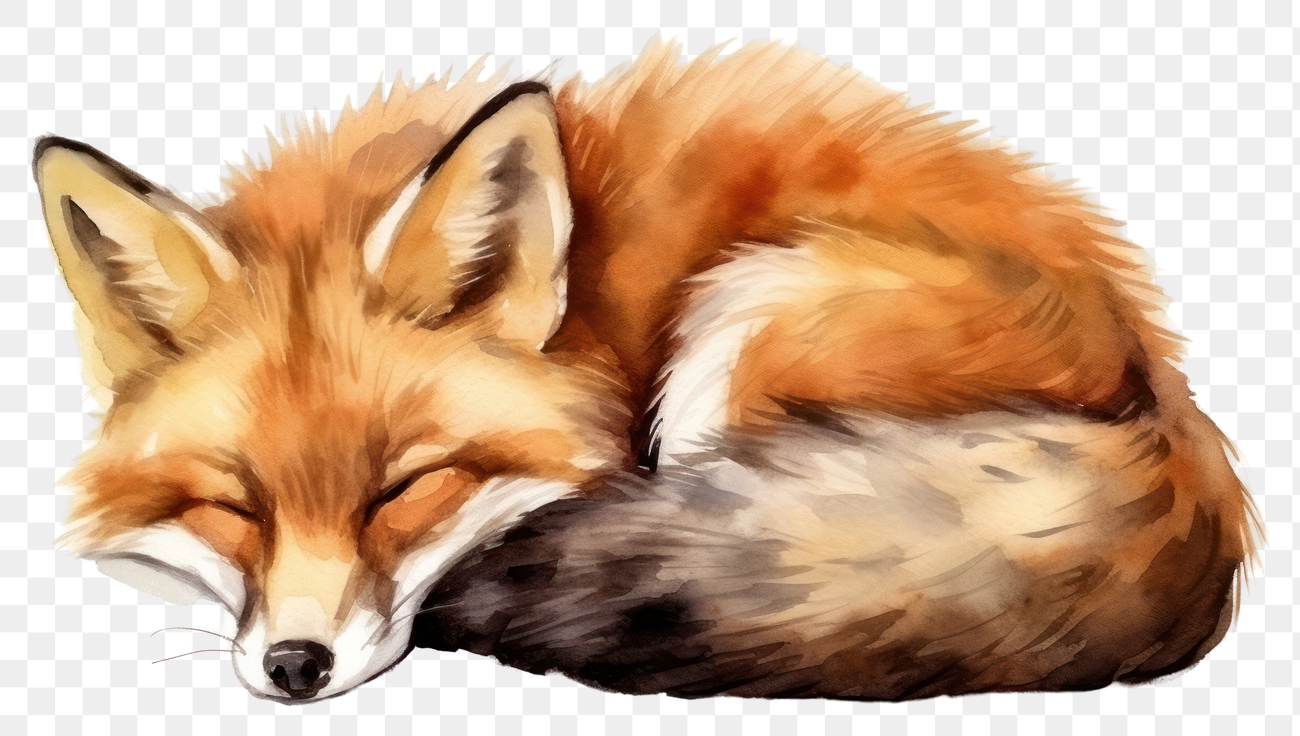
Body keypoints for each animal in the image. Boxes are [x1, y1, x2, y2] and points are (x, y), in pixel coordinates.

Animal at [34, 42, 1258, 703]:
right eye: (233, 506)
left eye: (405, 489)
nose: (296, 665)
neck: (591, 318)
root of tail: (1178, 424)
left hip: (751, 308)